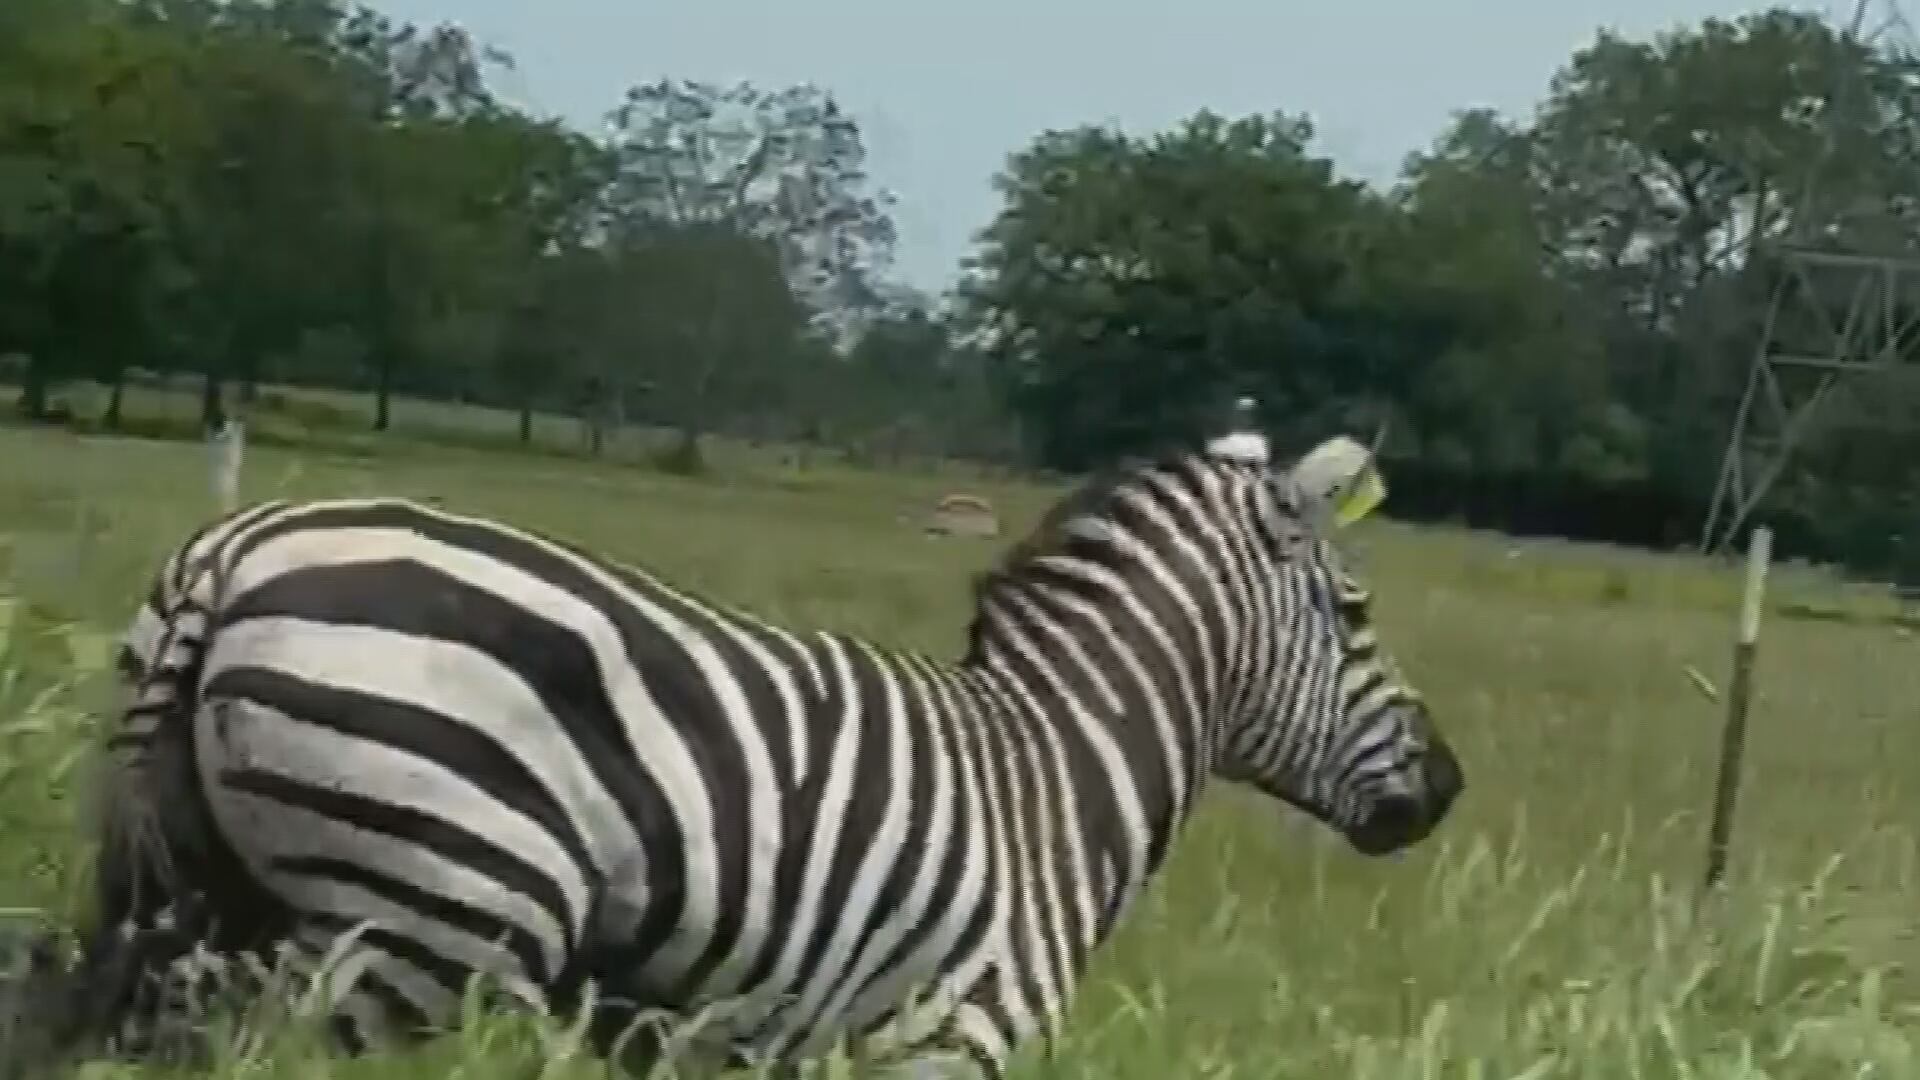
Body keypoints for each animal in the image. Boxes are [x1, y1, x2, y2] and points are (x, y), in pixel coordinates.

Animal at [3, 434, 1463, 1078]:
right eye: (1354, 613)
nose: (1445, 791)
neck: (1059, 770)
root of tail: (235, 545)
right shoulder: (949, 1040)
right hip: (422, 923)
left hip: (214, 894)